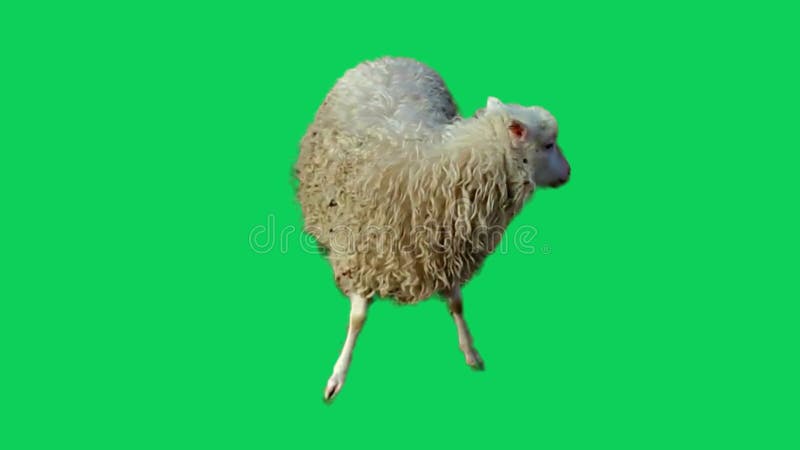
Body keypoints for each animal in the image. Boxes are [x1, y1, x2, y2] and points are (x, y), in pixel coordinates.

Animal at [294, 57, 571, 402]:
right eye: (548, 144)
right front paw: (338, 374)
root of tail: (391, 58)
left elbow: (456, 304)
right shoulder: (361, 253)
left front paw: (470, 352)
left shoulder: (446, 250)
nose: (569, 173)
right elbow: (357, 319)